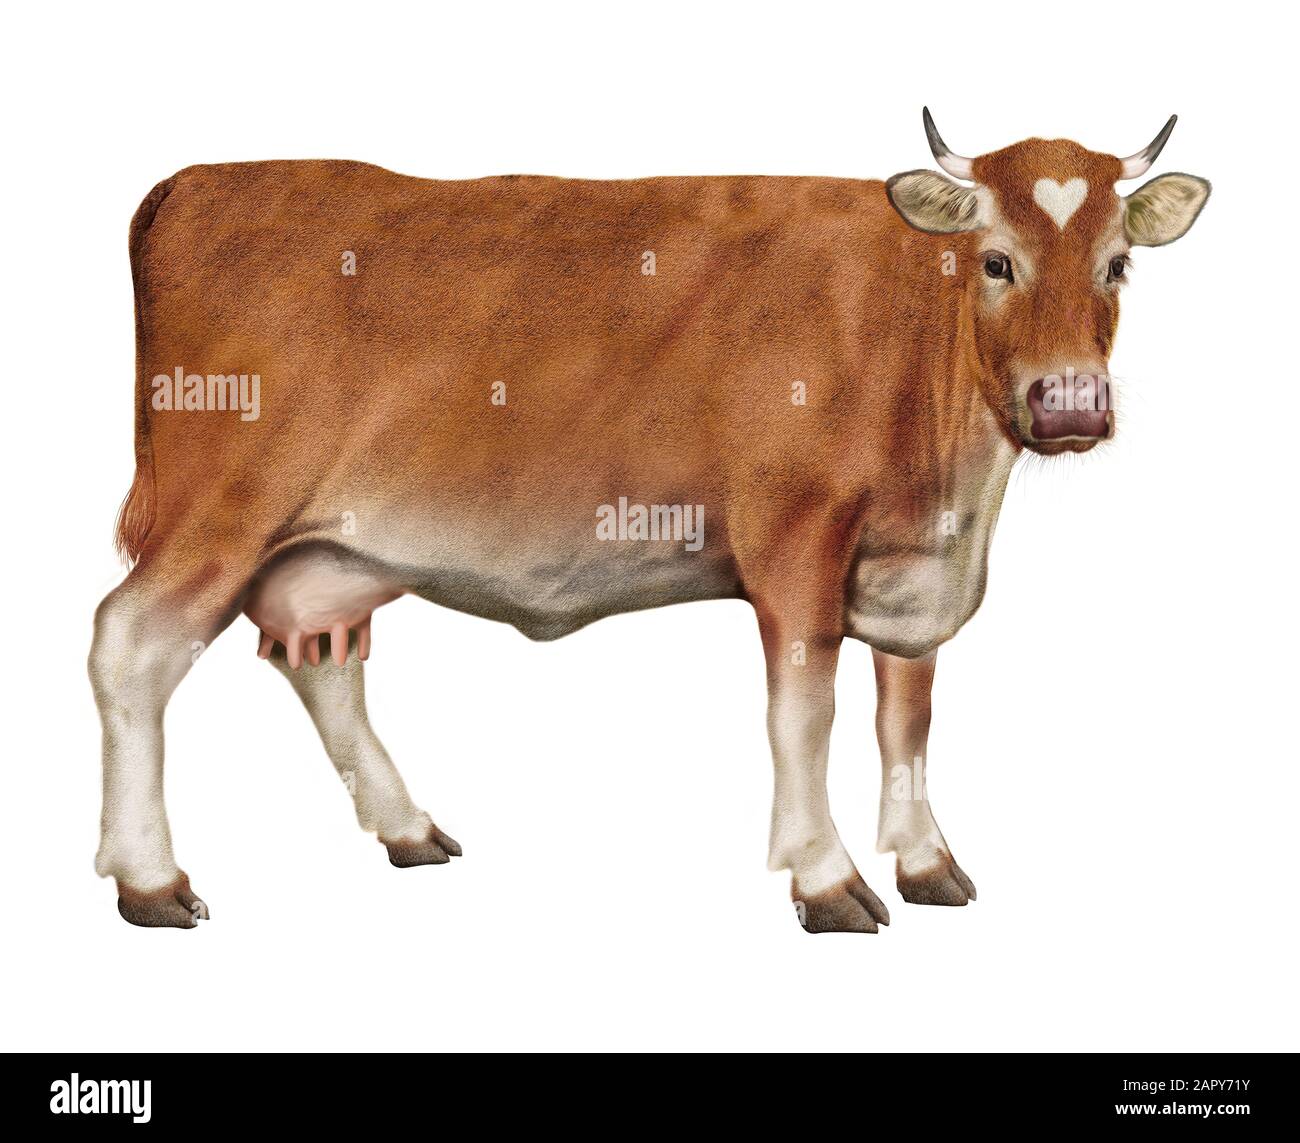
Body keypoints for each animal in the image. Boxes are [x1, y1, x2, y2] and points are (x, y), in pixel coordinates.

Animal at [90, 110, 1209, 931]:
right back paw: (150, 879)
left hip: (330, 544)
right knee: (128, 647)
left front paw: (928, 862)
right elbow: (804, 714)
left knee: (320, 660)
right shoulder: (793, 538)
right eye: (995, 260)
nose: (1069, 403)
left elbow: (908, 715)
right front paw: (824, 877)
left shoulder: (908, 562)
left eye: (1117, 263)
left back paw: (406, 827)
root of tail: (202, 178)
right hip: (218, 509)